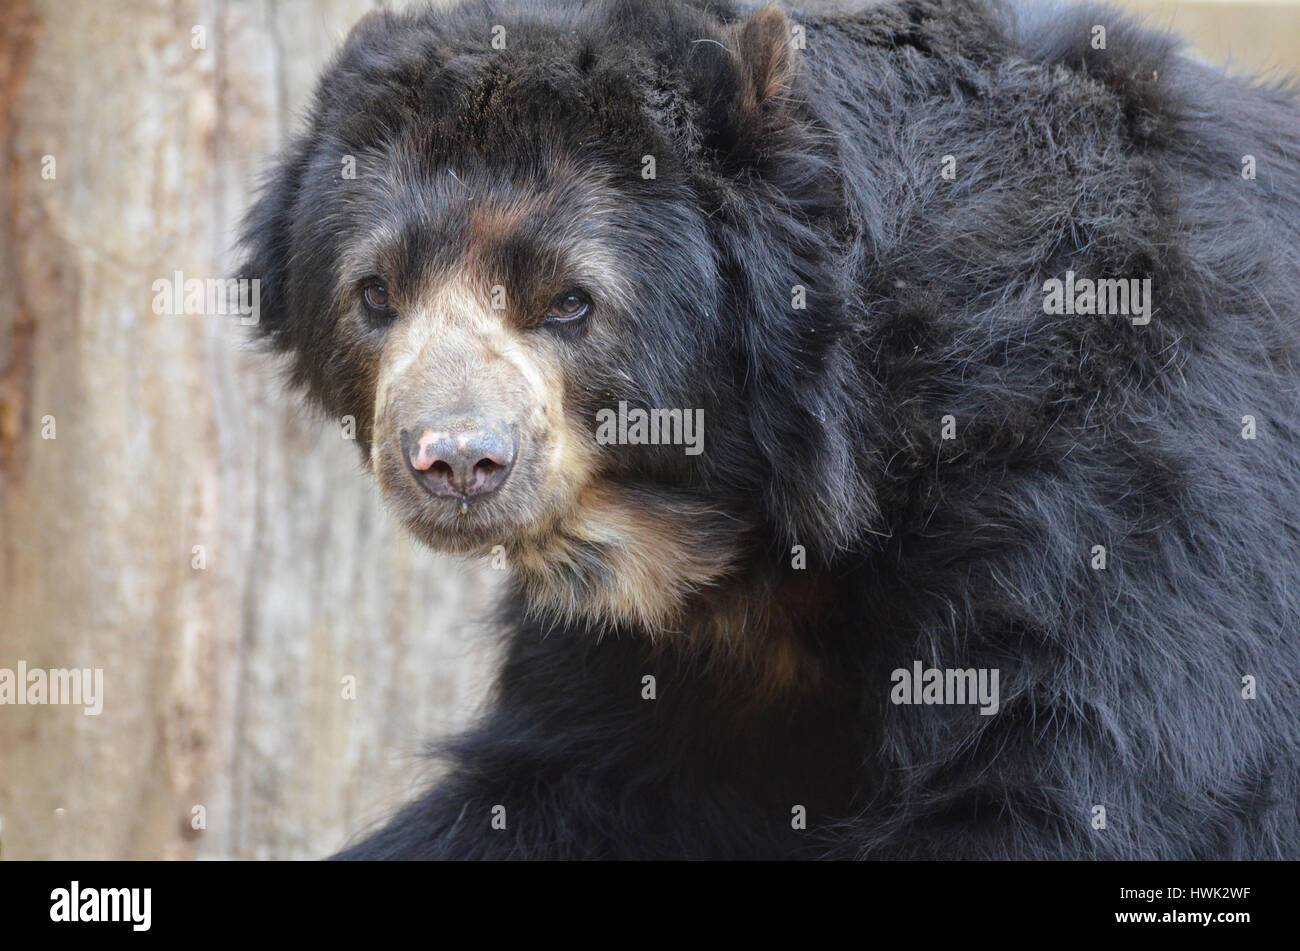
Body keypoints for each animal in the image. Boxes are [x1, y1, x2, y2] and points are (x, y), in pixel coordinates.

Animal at [239, 0, 1300, 859]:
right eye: (375, 294)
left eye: (571, 301)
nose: (457, 462)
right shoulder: (652, 662)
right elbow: (565, 775)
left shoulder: (1121, 482)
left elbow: (1061, 775)